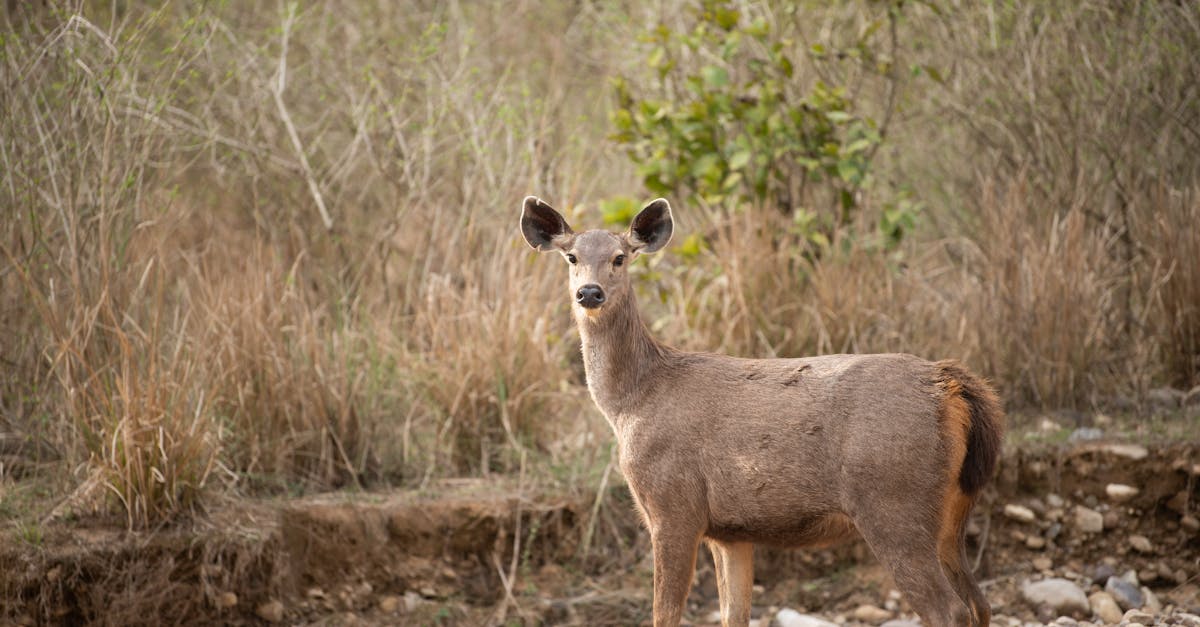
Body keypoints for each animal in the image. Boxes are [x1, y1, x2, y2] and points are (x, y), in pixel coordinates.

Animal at [518, 196, 1003, 624]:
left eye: (619, 258)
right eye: (571, 257)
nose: (589, 292)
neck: (631, 403)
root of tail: (950, 385)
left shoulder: (673, 503)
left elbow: (665, 614)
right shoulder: (730, 531)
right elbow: (734, 615)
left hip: (893, 501)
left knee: (950, 610)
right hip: (950, 512)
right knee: (980, 604)